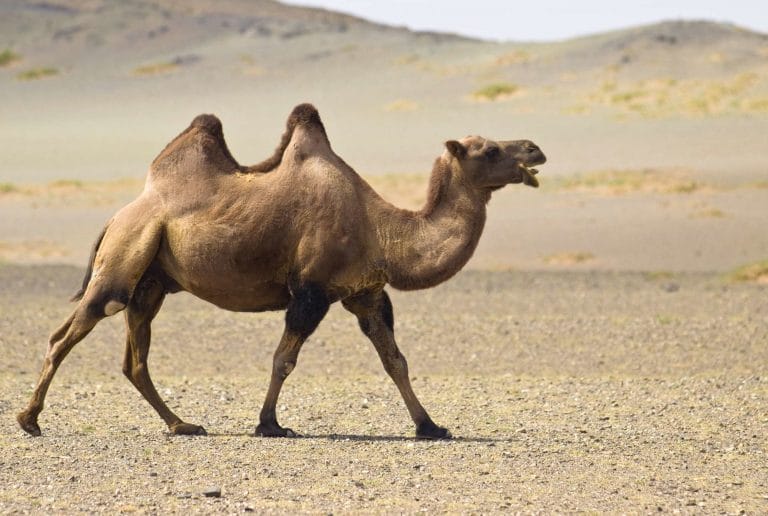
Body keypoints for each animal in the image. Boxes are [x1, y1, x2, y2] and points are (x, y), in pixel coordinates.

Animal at [17, 104, 545, 439]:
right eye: (489, 150)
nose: (535, 149)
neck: (380, 228)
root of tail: (118, 214)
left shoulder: (365, 293)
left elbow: (395, 360)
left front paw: (430, 426)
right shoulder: (311, 290)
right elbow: (283, 359)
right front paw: (269, 424)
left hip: (152, 282)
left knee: (134, 357)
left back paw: (182, 424)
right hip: (124, 257)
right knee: (69, 332)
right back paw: (30, 419)